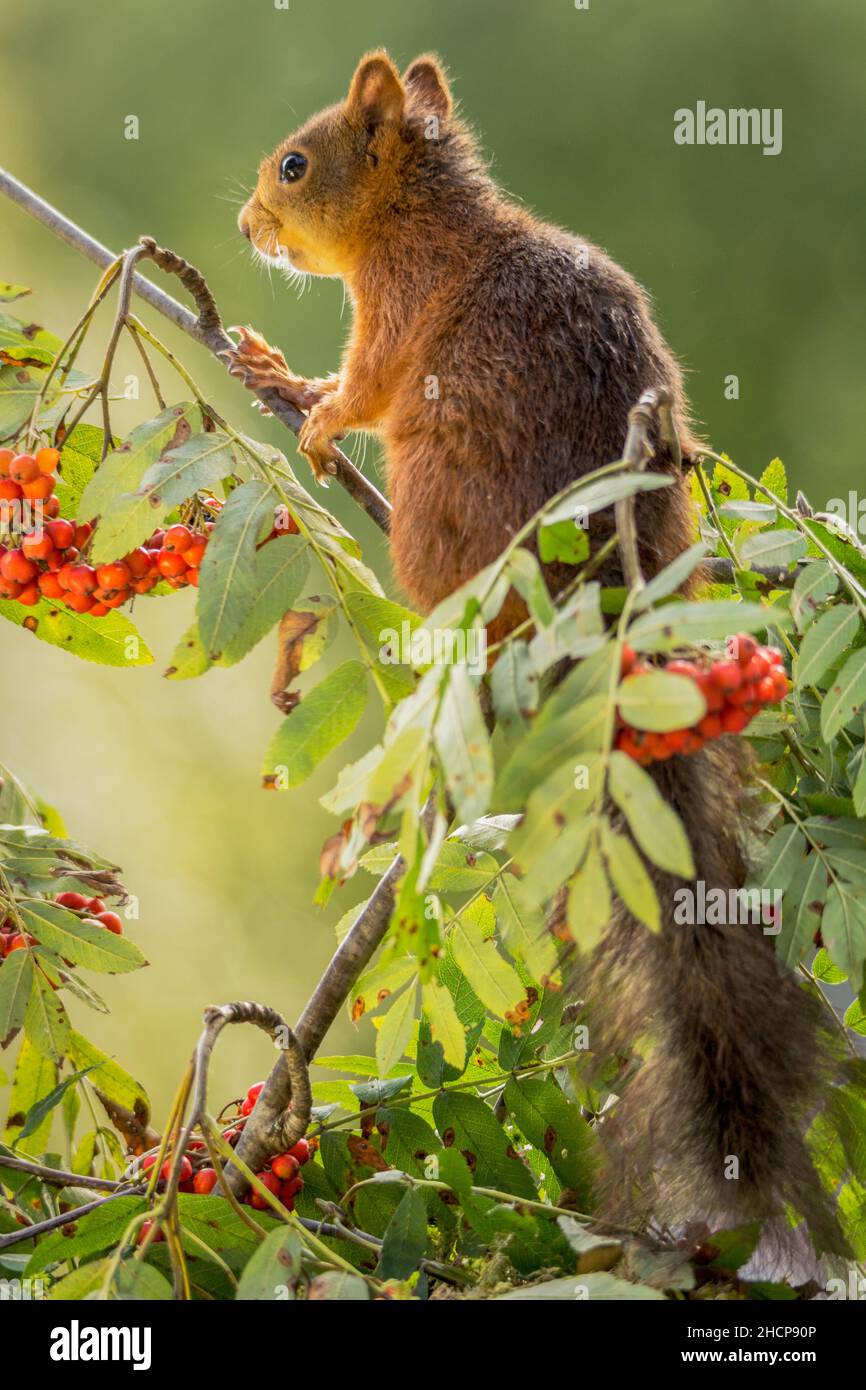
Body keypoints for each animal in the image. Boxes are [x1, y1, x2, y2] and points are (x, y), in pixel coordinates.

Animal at [232, 51, 843, 1248]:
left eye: (295, 165)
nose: (244, 225)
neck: (422, 214)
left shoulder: (396, 305)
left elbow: (366, 383)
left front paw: (308, 403)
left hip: (433, 507)